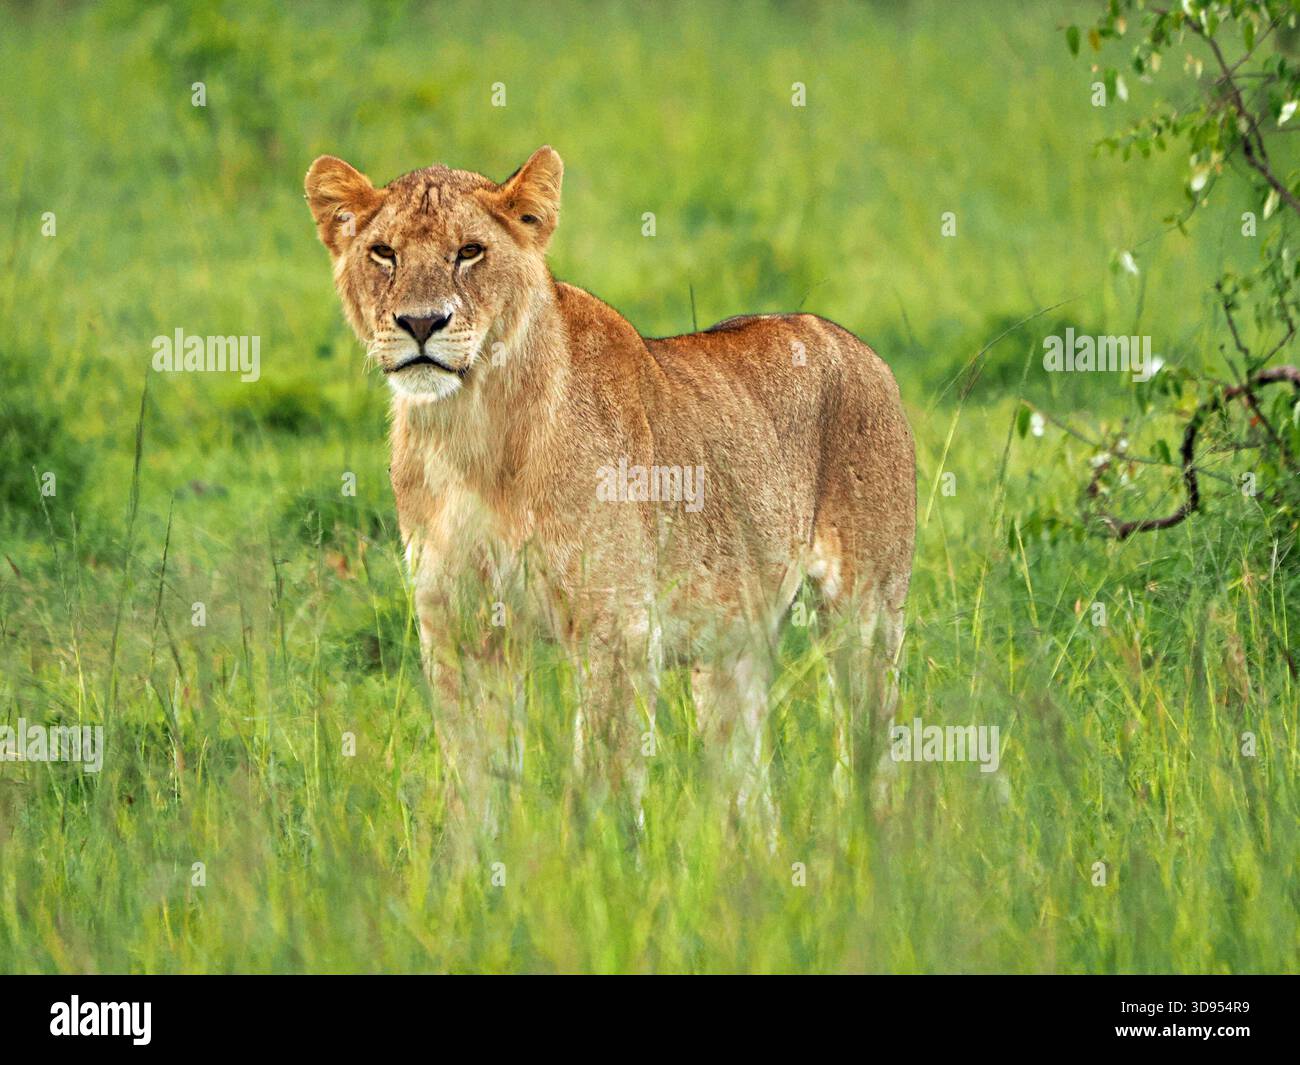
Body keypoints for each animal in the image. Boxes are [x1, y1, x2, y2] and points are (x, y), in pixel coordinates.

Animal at [305, 145, 915, 836]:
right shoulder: (461, 627)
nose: (420, 322)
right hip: (734, 643)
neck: (470, 431)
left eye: (469, 251)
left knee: (871, 748)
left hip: (865, 612)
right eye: (384, 253)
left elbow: (602, 782)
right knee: (748, 787)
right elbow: (473, 779)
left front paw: (601, 861)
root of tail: (857, 345)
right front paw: (471, 863)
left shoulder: (617, 627)